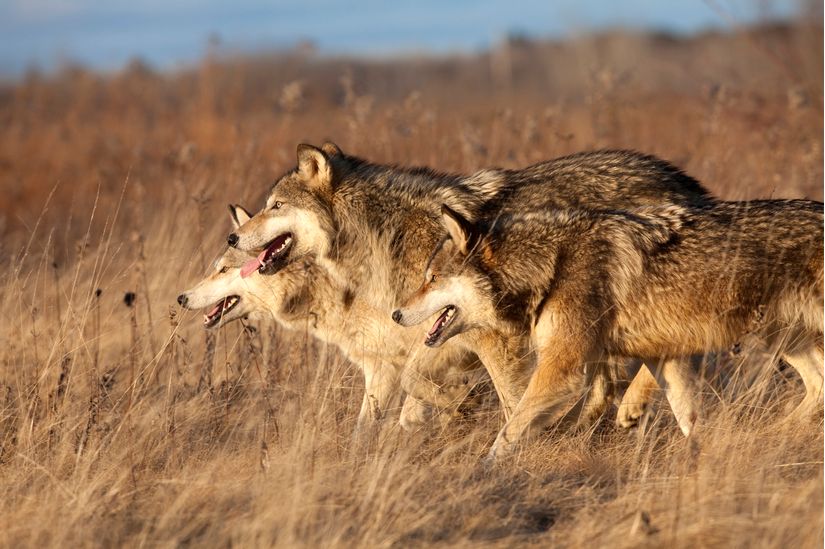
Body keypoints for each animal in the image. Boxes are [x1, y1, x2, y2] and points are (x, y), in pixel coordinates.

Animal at [225, 143, 717, 426]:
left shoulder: (492, 338)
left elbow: (511, 400)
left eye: (275, 205)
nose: (232, 237)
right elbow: (410, 386)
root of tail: (686, 182)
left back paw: (628, 408)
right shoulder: (433, 333)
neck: (384, 234)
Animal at [392, 200, 824, 461]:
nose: (396, 314)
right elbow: (688, 420)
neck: (552, 265)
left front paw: (486, 471)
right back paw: (776, 436)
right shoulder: (666, 358)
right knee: (817, 386)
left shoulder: (563, 369)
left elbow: (508, 432)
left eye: (432, 279)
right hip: (782, 338)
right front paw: (699, 460)